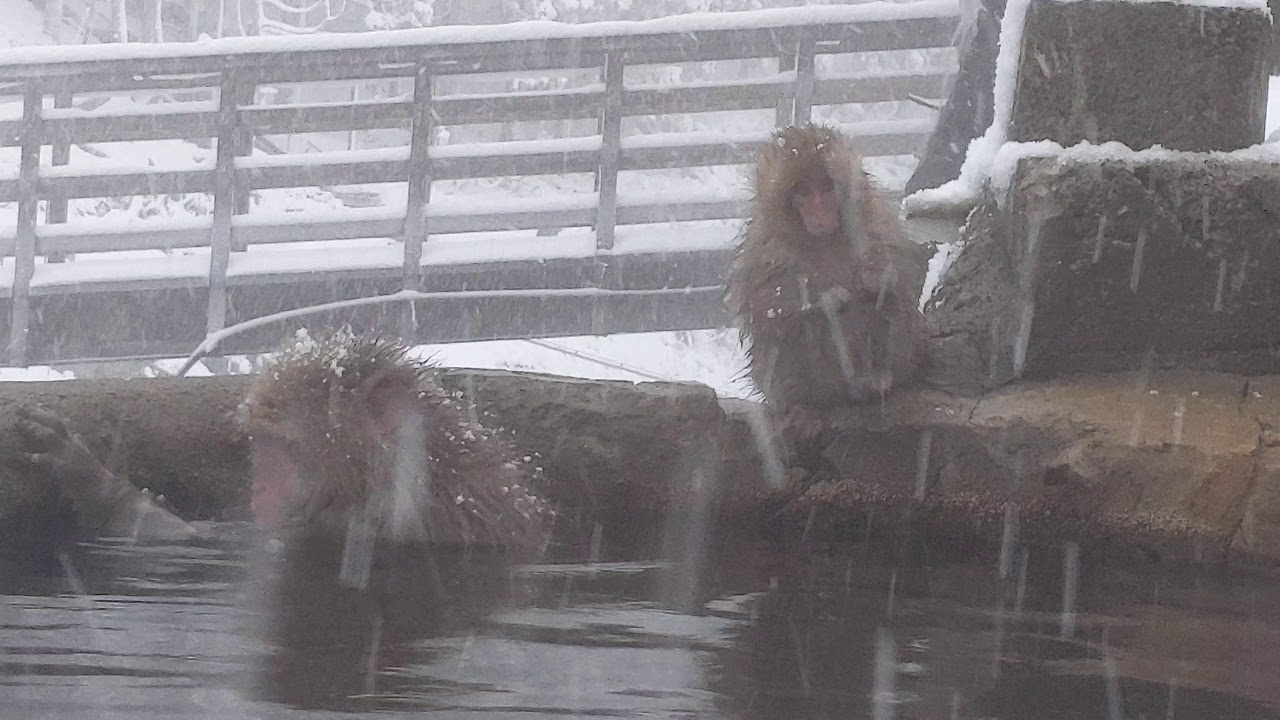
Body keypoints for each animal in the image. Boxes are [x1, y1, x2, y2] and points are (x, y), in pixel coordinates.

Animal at [728, 123, 929, 456]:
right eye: (803, 192)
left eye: (826, 188)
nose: (819, 212)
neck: (822, 241)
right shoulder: (764, 248)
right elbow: (766, 308)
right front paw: (827, 298)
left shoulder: (876, 220)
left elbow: (902, 276)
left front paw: (877, 279)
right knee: (791, 337)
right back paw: (805, 408)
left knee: (886, 311)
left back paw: (878, 380)